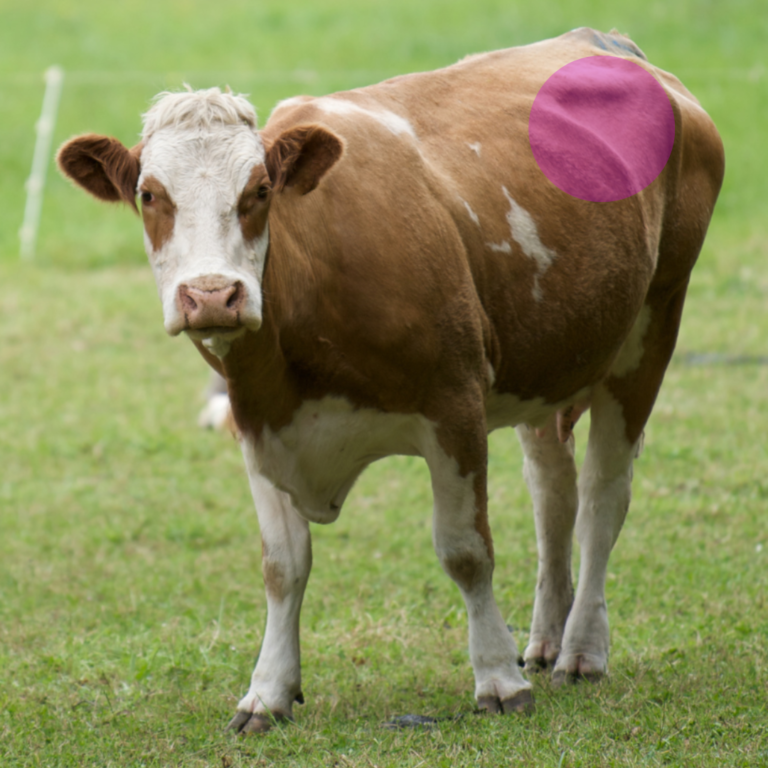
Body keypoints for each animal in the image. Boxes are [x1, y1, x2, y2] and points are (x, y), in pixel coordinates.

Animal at [57, 27, 724, 733]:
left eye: (260, 190)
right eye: (149, 195)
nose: (212, 295)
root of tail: (603, 40)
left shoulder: (454, 406)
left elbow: (465, 550)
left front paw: (497, 678)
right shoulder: (258, 424)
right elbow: (282, 567)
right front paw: (268, 691)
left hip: (653, 327)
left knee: (602, 497)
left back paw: (582, 649)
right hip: (548, 362)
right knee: (554, 494)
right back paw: (544, 640)